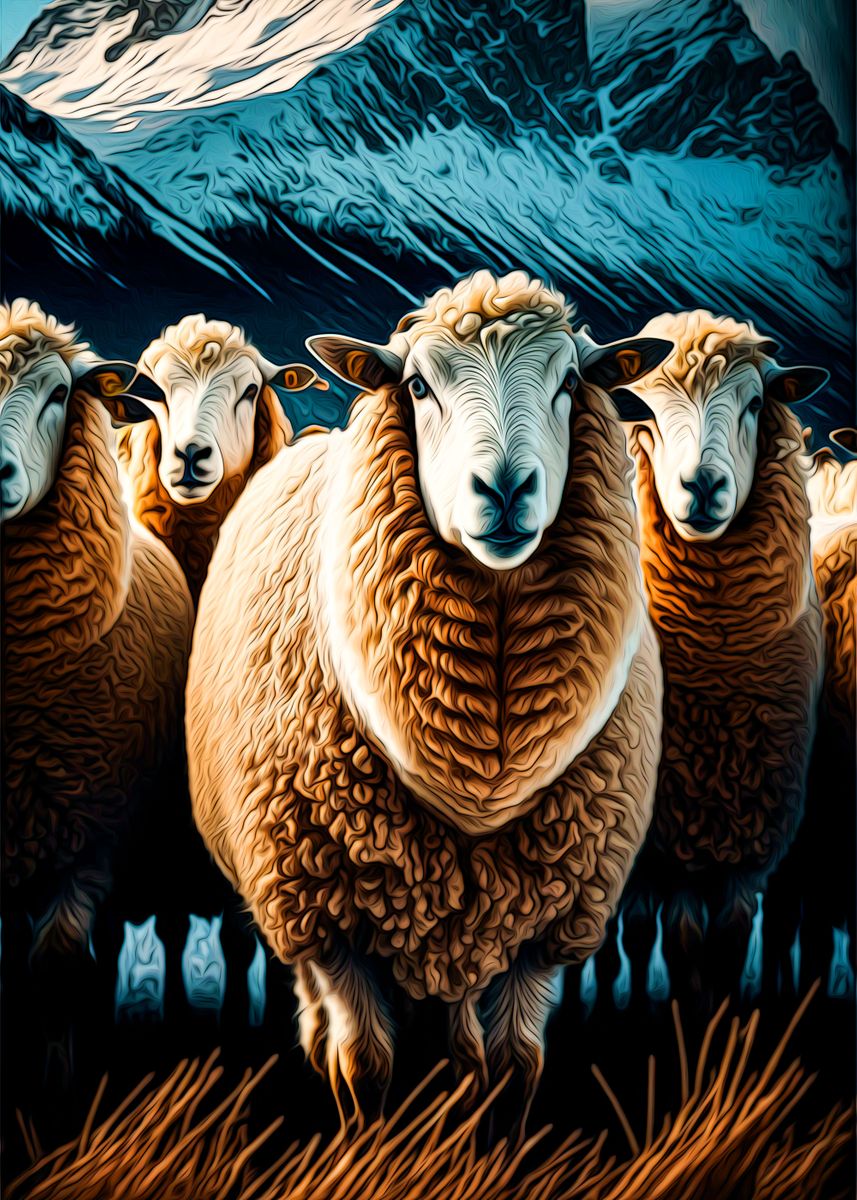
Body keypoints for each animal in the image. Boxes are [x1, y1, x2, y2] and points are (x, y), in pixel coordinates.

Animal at [186, 270, 668, 1125]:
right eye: (415, 386)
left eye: (570, 383)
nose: (504, 489)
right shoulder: (326, 914)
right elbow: (363, 1065)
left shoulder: (550, 920)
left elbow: (515, 1066)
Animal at [607, 309, 826, 1007]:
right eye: (643, 410)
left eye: (756, 403)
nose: (702, 486)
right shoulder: (659, 854)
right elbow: (669, 944)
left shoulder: (748, 848)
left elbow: (727, 946)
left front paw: (721, 1015)